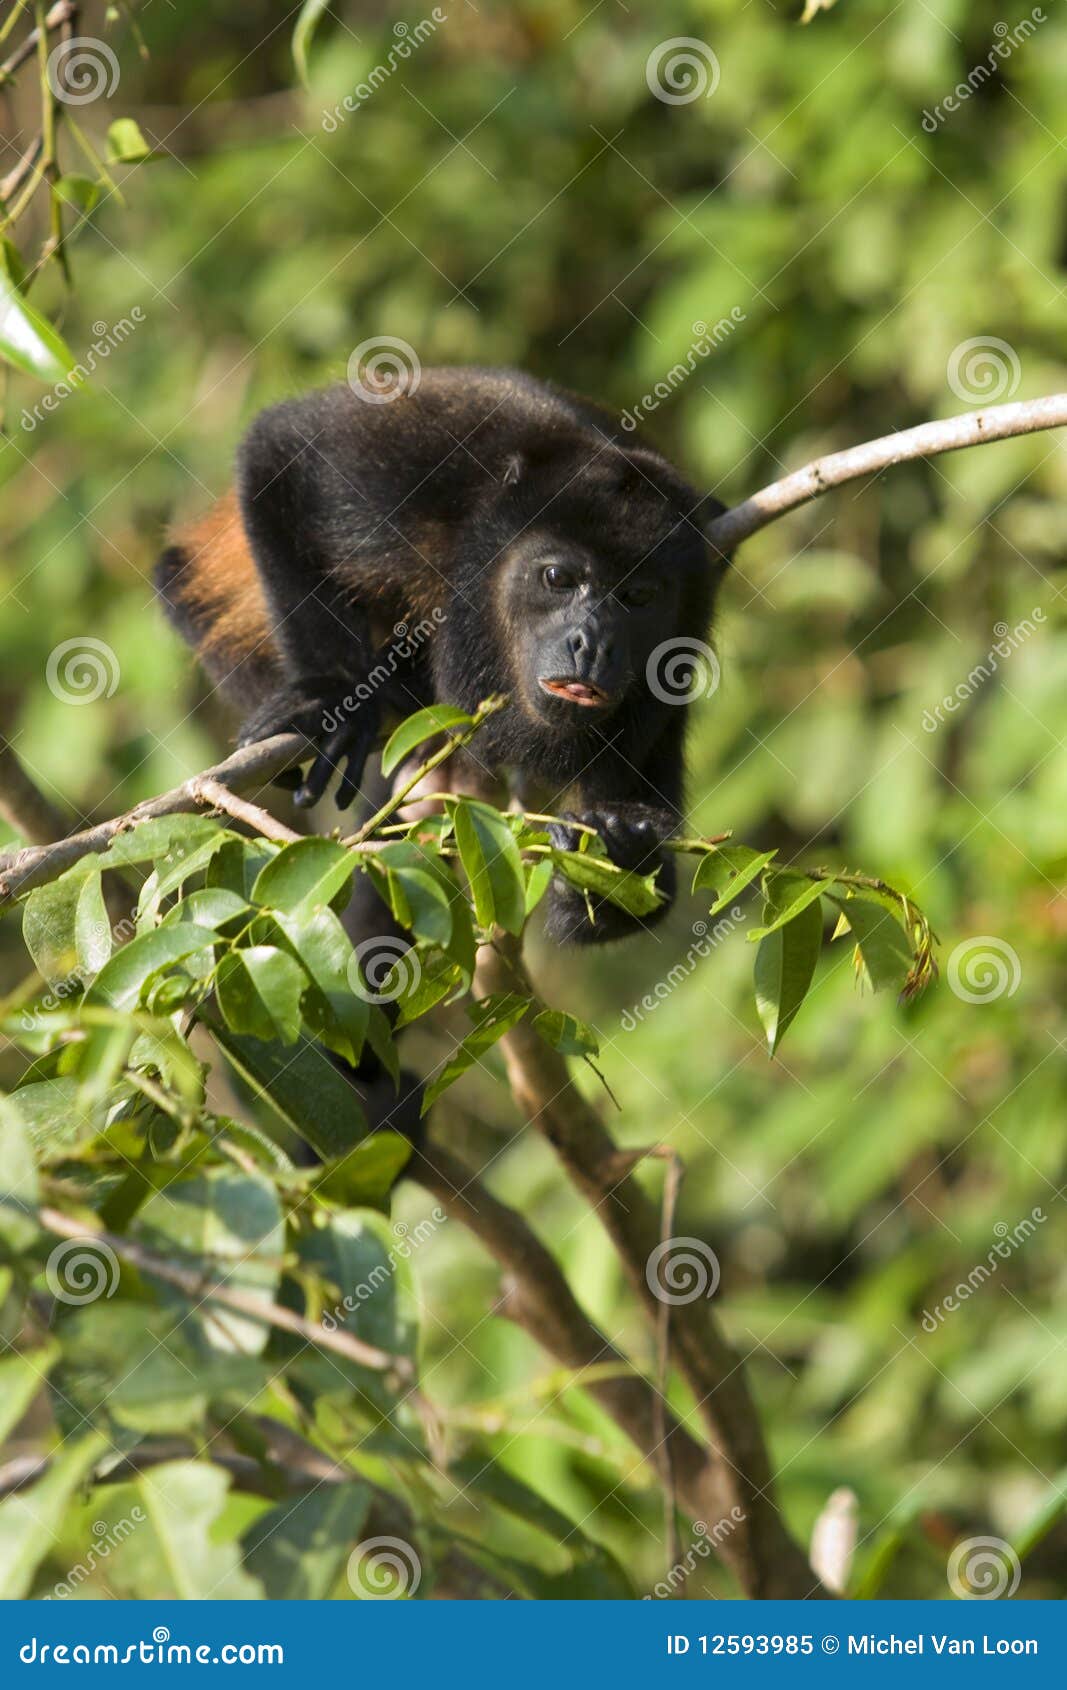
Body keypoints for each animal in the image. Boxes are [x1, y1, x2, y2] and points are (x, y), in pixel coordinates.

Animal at [155, 366, 729, 949]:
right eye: (557, 578)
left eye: (639, 596)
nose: (593, 643)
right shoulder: (426, 470)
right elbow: (281, 451)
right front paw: (336, 693)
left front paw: (623, 851)